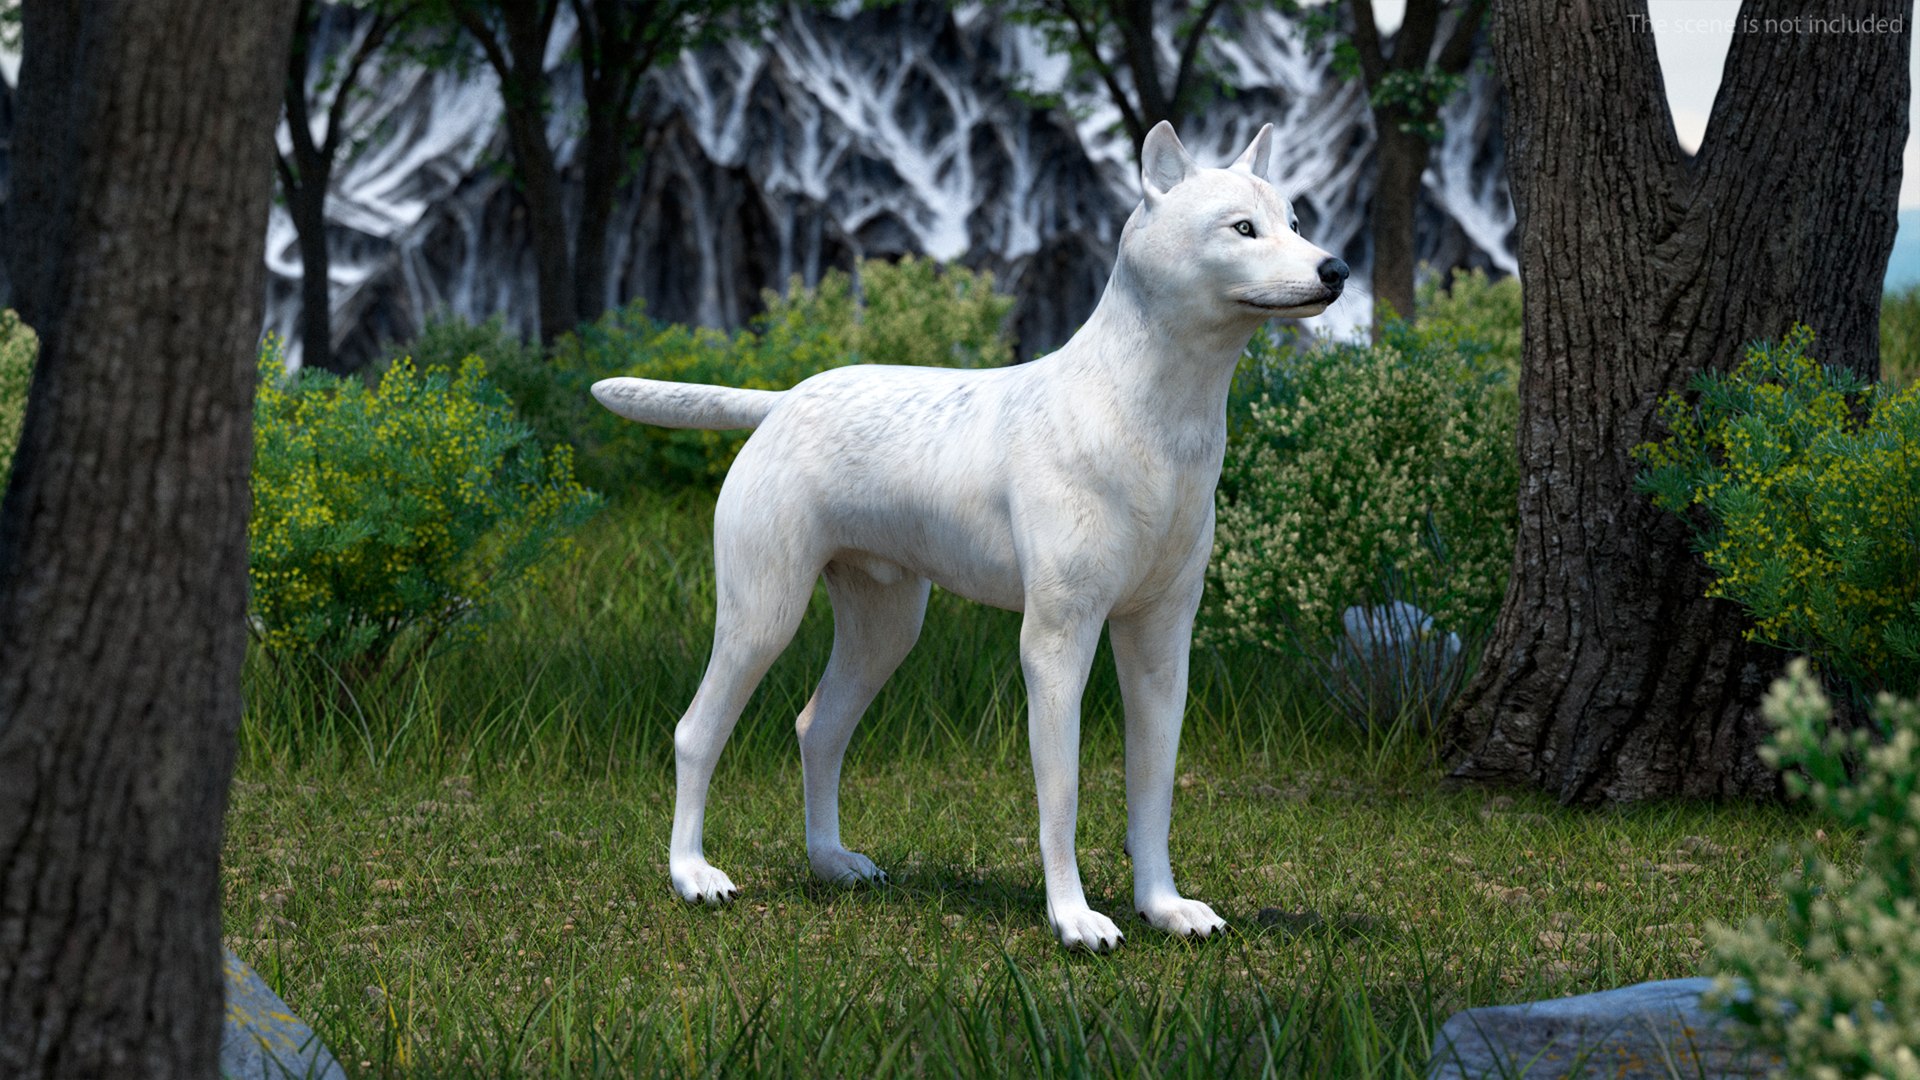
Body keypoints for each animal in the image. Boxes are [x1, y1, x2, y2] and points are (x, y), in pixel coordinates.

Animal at [592, 122, 1347, 950]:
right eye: (1242, 228)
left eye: (1296, 223)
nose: (1336, 269)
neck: (1152, 415)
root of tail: (781, 401)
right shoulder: (1056, 640)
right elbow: (1063, 793)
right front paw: (1075, 919)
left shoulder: (1160, 639)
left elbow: (1153, 789)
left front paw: (1166, 907)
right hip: (762, 614)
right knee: (696, 732)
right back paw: (693, 875)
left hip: (884, 626)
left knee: (818, 728)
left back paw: (832, 863)